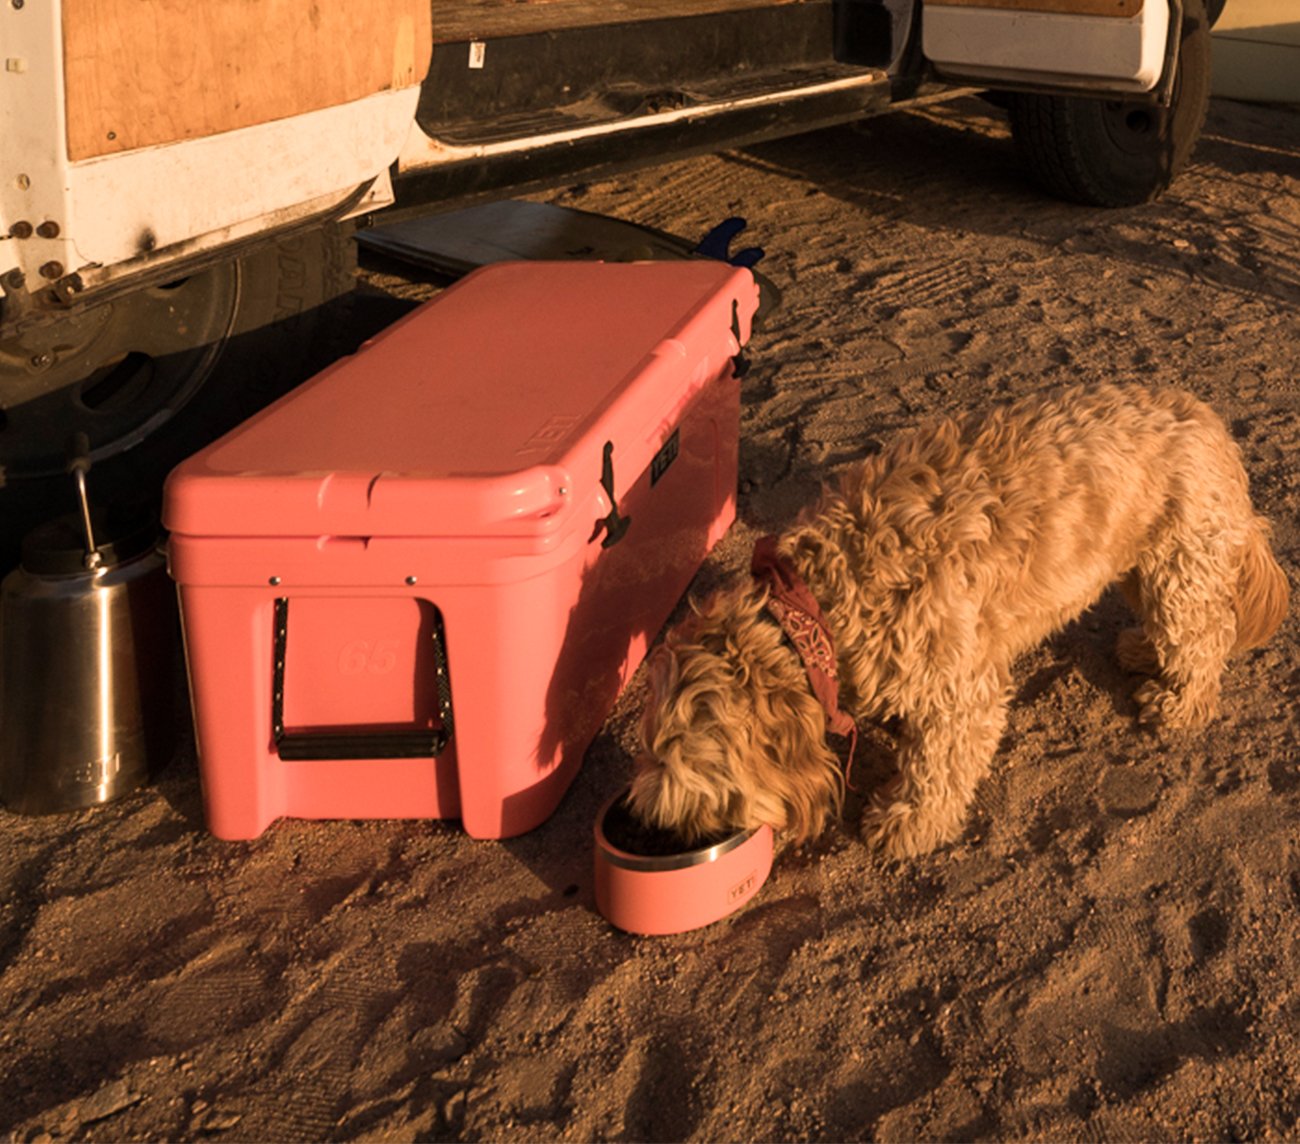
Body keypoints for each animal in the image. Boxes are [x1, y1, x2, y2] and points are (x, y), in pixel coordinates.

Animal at [631, 384, 1289, 857]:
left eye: (693, 782)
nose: (669, 833)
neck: (817, 606)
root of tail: (1208, 422)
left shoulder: (957, 687)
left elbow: (938, 767)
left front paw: (908, 822)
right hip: (1143, 560)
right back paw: (1143, 652)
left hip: (1178, 564)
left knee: (1205, 635)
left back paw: (1180, 702)